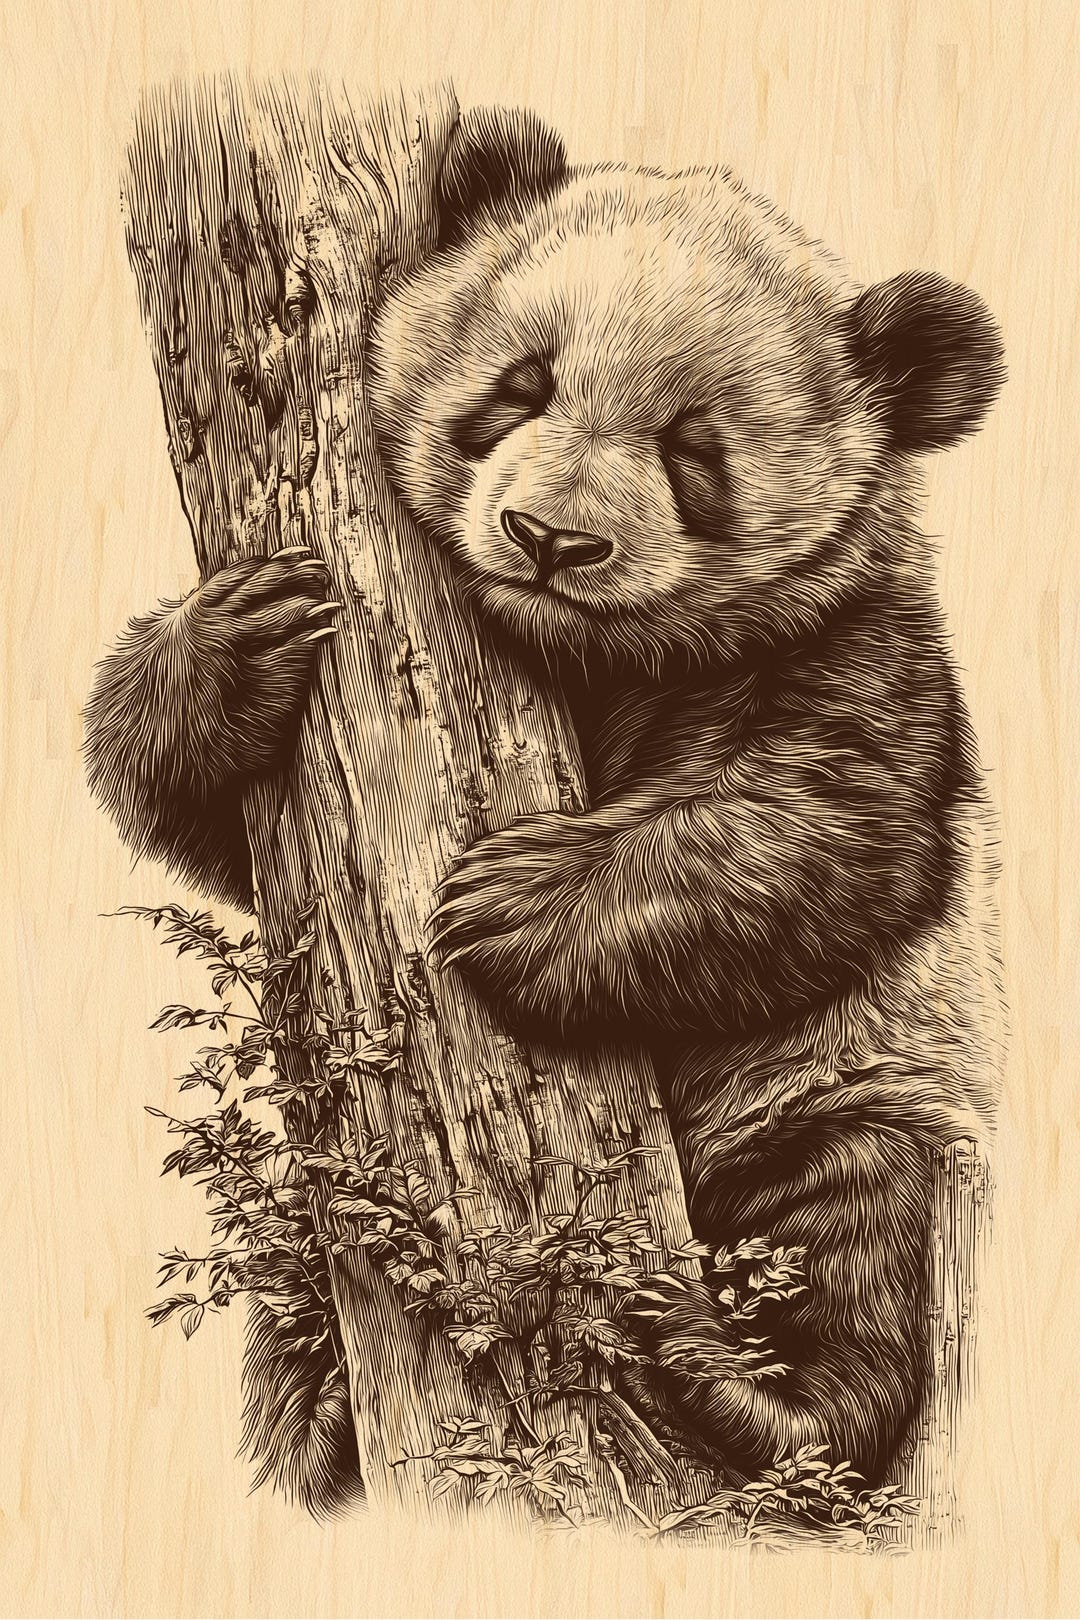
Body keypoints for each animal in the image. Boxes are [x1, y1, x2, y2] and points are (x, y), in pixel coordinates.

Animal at [85, 106, 1005, 1504]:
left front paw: (514, 906)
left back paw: (742, 1391)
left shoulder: (851, 644)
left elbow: (821, 827)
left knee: (849, 1239)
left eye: (694, 452)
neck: (585, 652)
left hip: (845, 1082)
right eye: (520, 386)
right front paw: (233, 643)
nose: (550, 539)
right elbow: (208, 822)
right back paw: (316, 1402)